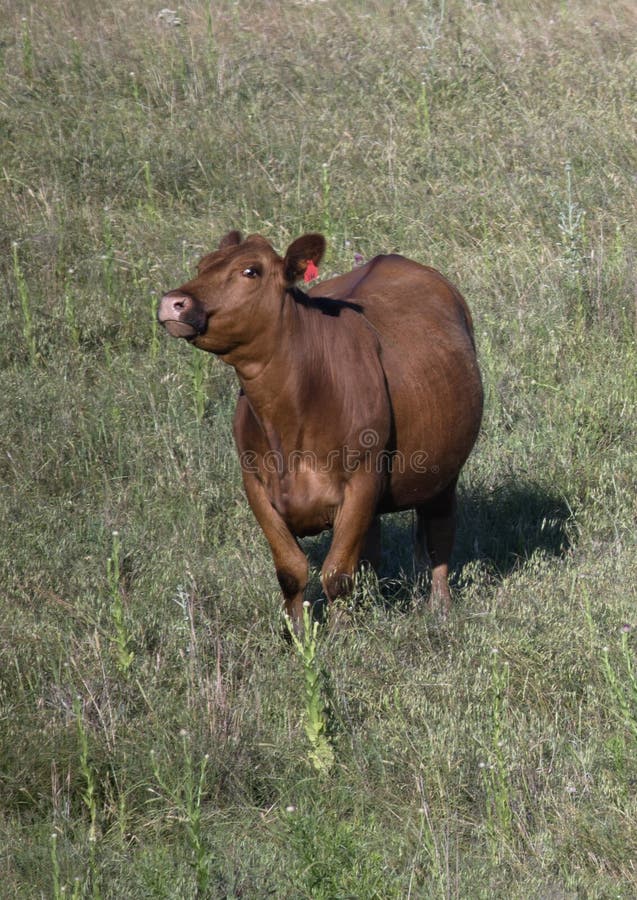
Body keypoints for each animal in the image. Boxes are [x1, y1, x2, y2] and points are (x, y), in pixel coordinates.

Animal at [158, 231, 482, 629]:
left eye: (251, 270)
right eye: (201, 265)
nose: (173, 302)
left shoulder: (362, 479)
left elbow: (337, 573)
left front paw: (342, 634)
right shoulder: (255, 485)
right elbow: (291, 570)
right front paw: (297, 633)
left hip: (445, 469)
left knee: (438, 534)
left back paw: (440, 609)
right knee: (371, 551)